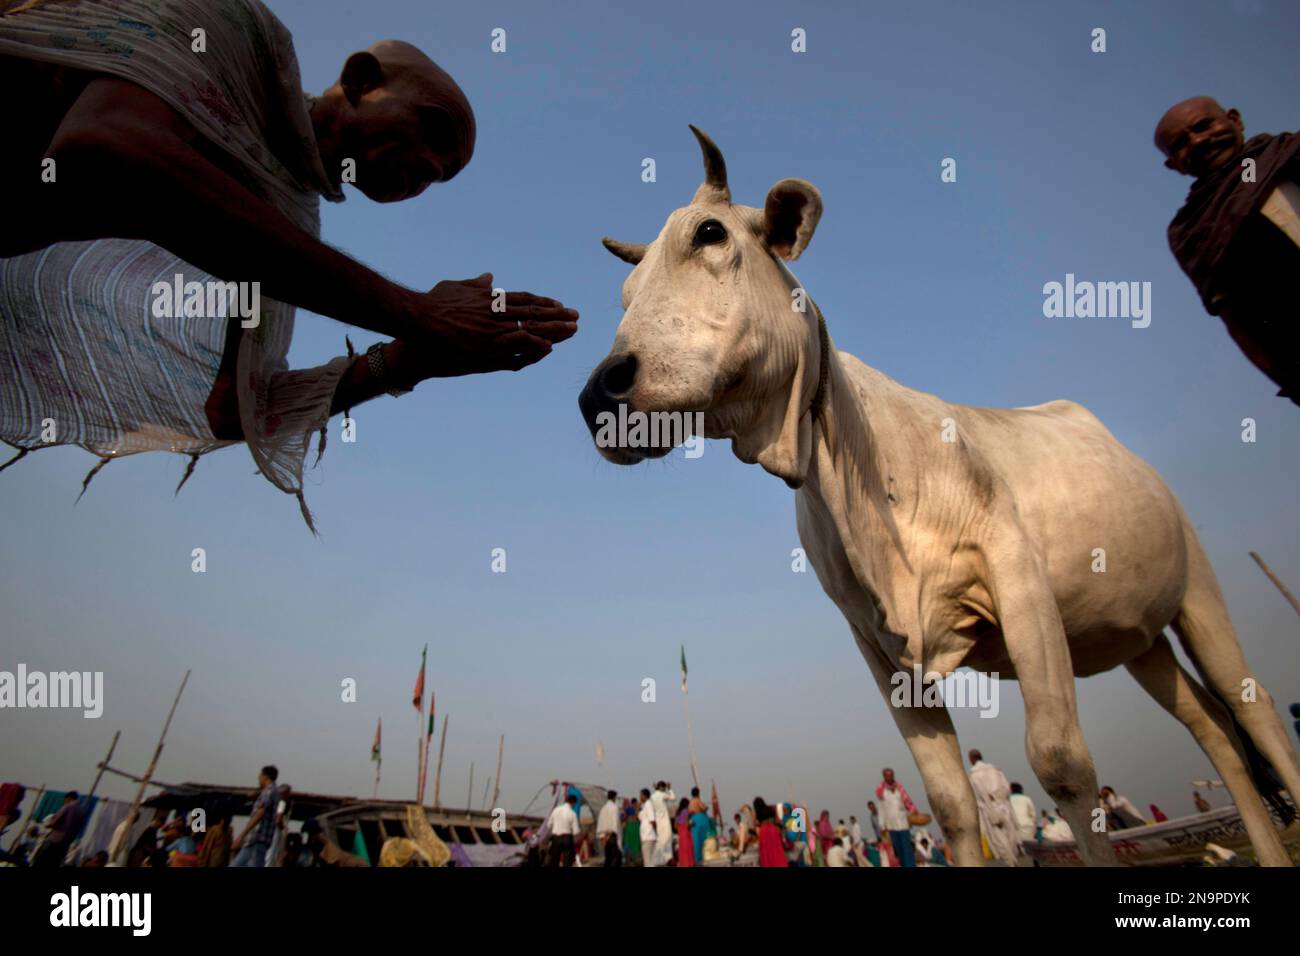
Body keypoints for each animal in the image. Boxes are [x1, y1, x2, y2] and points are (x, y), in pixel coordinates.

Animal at [579, 126, 1300, 866]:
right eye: (628, 290)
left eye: (710, 232)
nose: (599, 392)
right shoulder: (873, 641)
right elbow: (951, 802)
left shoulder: (1017, 577)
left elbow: (1062, 761)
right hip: (1137, 637)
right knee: (1211, 727)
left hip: (1197, 586)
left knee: (1252, 707)